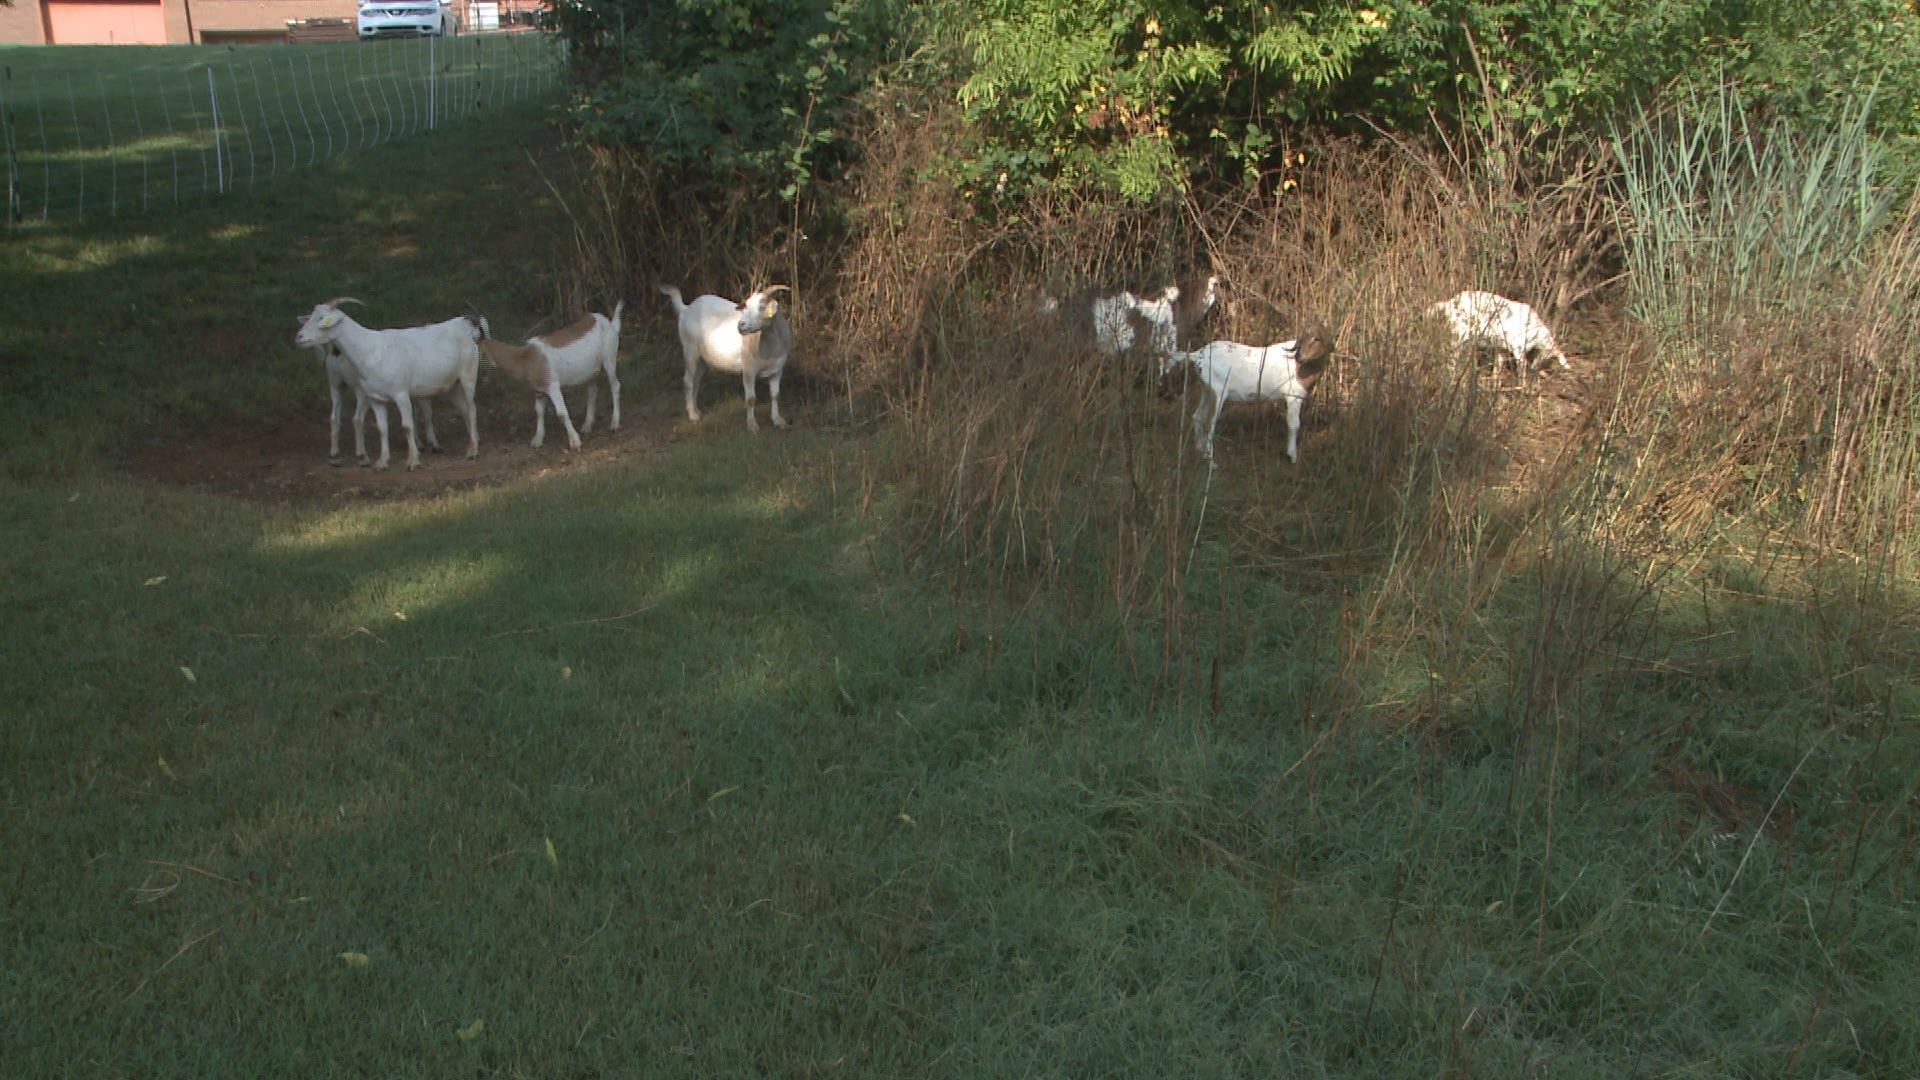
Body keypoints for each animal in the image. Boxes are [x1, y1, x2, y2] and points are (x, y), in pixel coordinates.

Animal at [294, 298, 482, 471]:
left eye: (321, 319)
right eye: (310, 317)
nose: (299, 337)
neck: (371, 350)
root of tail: (465, 330)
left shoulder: (401, 394)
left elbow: (407, 426)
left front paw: (413, 461)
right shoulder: (376, 398)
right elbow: (382, 428)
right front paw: (382, 462)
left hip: (468, 376)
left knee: (472, 410)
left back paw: (473, 452)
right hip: (452, 385)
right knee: (464, 409)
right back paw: (472, 443)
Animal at [475, 302, 625, 451]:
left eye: (478, 352)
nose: (481, 377)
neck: (525, 358)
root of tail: (610, 324)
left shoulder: (552, 385)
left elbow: (561, 413)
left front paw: (575, 442)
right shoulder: (539, 389)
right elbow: (539, 410)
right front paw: (537, 440)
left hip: (609, 359)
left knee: (615, 386)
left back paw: (614, 424)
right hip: (590, 371)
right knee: (592, 391)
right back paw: (587, 426)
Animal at [658, 284, 792, 432]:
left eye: (762, 306)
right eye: (746, 306)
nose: (740, 325)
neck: (769, 347)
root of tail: (687, 309)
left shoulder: (777, 370)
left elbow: (775, 395)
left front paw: (778, 421)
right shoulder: (749, 369)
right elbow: (751, 399)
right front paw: (752, 426)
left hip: (702, 358)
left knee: (696, 381)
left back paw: (696, 410)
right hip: (690, 349)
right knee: (688, 381)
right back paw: (692, 416)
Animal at [1158, 322, 1336, 464]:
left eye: (1317, 339)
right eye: (1303, 339)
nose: (1300, 356)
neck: (1301, 368)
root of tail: (1197, 356)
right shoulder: (1293, 396)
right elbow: (1294, 425)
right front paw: (1292, 456)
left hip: (1207, 388)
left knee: (1198, 416)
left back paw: (1199, 451)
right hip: (1218, 390)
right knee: (1209, 422)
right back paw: (1211, 462)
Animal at [1426, 290, 1570, 373]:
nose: (1534, 369)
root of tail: (1450, 303)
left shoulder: (1502, 349)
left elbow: (1497, 370)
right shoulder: (1518, 350)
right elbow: (1521, 371)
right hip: (1459, 336)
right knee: (1449, 356)